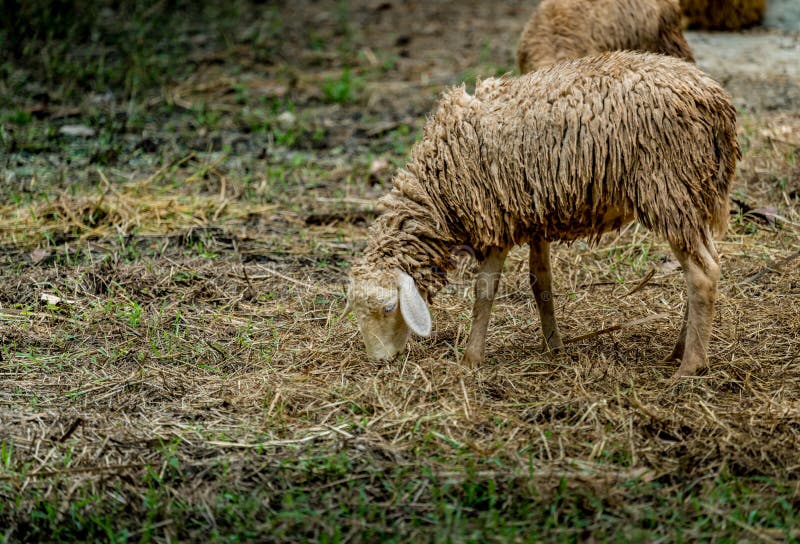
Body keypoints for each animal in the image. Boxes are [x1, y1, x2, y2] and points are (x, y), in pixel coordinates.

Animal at [345, 51, 740, 378]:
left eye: (388, 308)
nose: (379, 361)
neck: (436, 189)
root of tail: (716, 103)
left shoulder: (496, 217)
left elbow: (485, 290)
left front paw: (470, 359)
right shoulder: (533, 215)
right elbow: (541, 283)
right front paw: (554, 346)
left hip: (668, 190)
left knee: (702, 274)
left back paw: (690, 366)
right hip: (693, 195)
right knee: (704, 267)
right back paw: (679, 350)